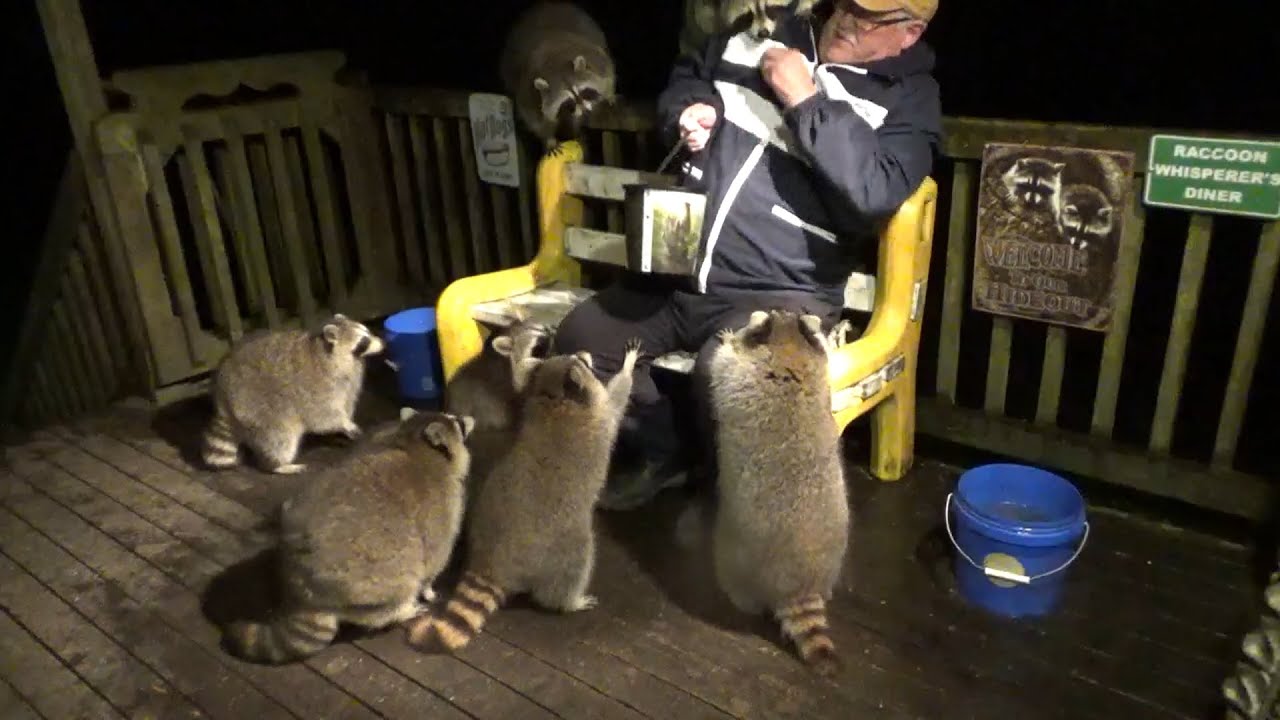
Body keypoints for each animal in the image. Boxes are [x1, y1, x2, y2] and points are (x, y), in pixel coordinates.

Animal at [201, 314, 384, 474]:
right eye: (364, 342)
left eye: (367, 332)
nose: (383, 342)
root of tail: (221, 397)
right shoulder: (317, 387)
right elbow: (322, 416)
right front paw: (344, 423)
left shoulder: (349, 382)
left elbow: (346, 403)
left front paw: (345, 425)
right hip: (256, 408)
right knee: (280, 438)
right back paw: (277, 465)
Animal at [222, 409, 475, 665]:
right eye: (458, 423)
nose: (467, 417)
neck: (414, 445)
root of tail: (304, 589)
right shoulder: (444, 509)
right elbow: (435, 558)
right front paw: (429, 590)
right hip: (373, 576)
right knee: (400, 583)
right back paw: (402, 610)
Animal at [405, 338, 643, 653]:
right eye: (582, 361)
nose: (586, 353)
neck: (552, 396)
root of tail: (491, 562)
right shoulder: (599, 413)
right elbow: (617, 399)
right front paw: (627, 368)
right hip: (561, 544)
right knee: (576, 562)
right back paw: (569, 602)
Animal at [499, 1, 617, 151]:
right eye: (568, 102)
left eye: (584, 92)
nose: (585, 112)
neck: (556, 69)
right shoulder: (527, 88)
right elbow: (533, 117)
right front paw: (548, 138)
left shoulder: (593, 56)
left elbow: (607, 73)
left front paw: (609, 94)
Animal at [706, 309, 849, 677]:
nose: (782, 311)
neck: (789, 349)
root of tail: (801, 587)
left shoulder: (739, 372)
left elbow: (721, 364)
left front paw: (726, 339)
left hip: (735, 558)